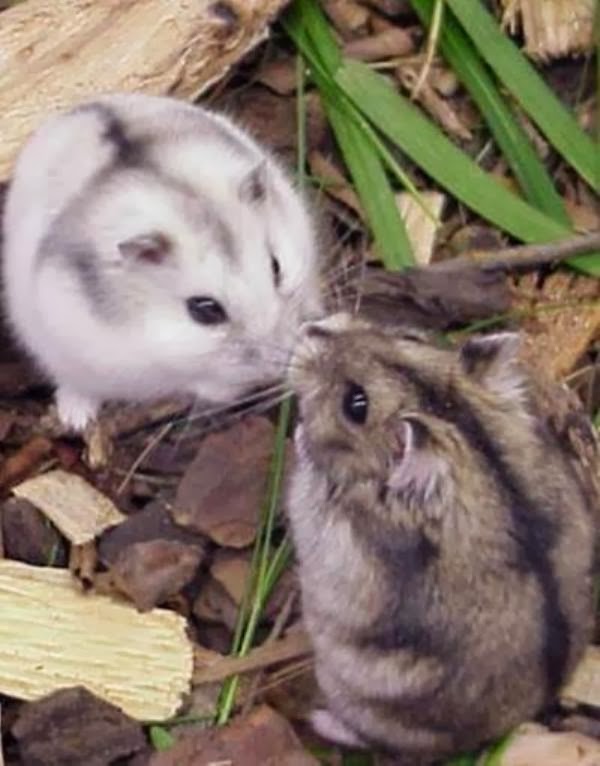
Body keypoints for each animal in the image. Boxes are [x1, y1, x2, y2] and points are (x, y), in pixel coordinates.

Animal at [286, 312, 597, 764]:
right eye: (407, 335)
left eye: (356, 403)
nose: (309, 328)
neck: (462, 430)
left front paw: (300, 434)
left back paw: (322, 720)